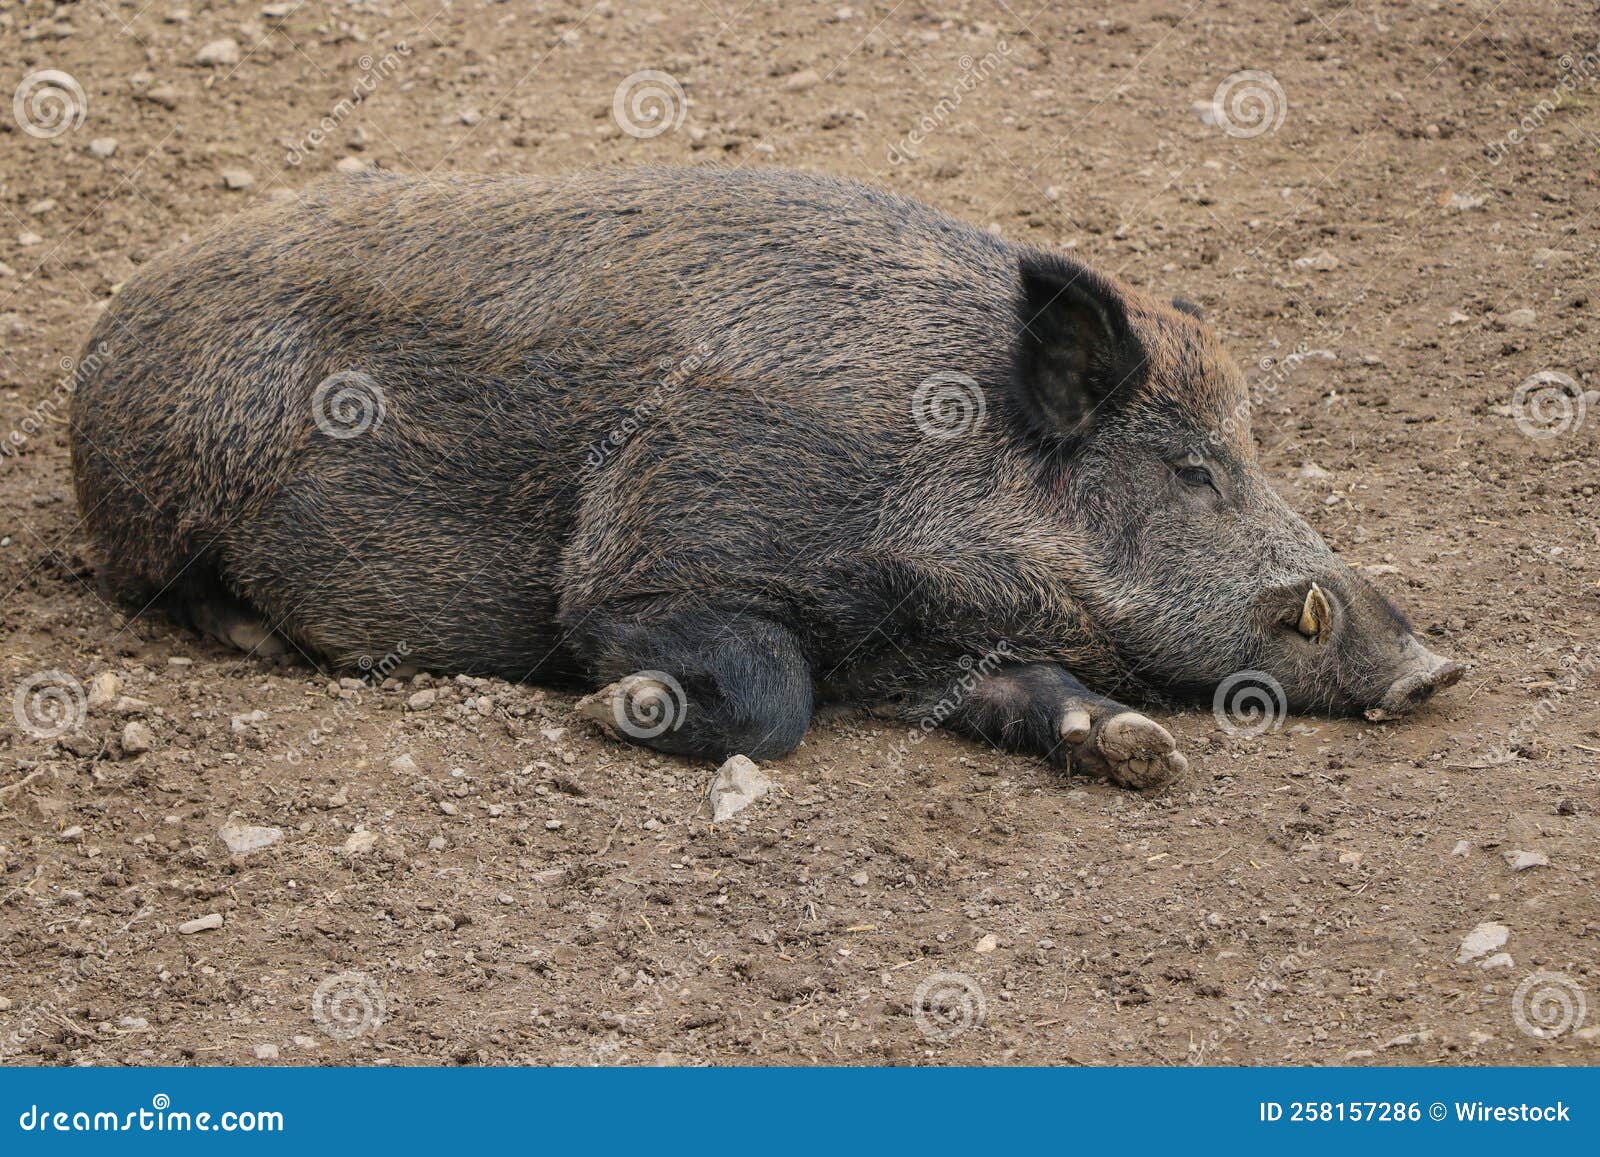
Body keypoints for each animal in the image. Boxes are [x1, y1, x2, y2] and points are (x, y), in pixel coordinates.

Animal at [69, 166, 1463, 788]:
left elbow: (1037, 690)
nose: (1433, 667)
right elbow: (769, 690)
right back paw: (263, 640)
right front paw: (610, 710)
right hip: (176, 487)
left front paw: (1139, 750)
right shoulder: (648, 553)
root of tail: (105, 336)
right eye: (1189, 471)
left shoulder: (931, 650)